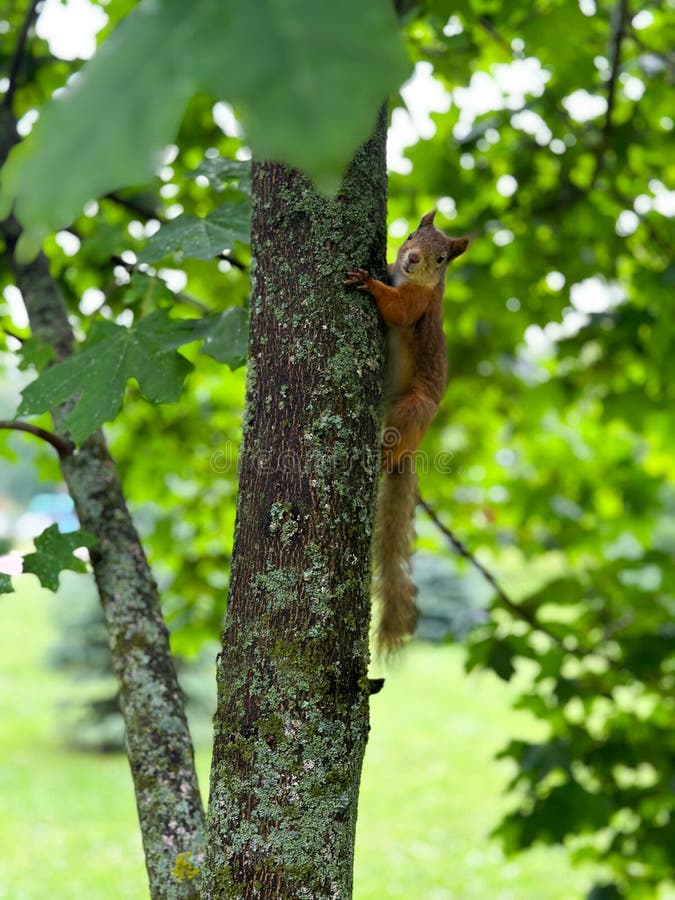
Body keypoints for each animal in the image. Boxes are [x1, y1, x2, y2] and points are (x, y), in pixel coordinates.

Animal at [345, 210, 470, 654]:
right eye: (413, 233)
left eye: (441, 258)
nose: (412, 258)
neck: (407, 280)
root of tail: (413, 448)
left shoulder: (418, 304)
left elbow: (396, 311)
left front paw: (368, 283)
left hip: (413, 410)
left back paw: (383, 454)